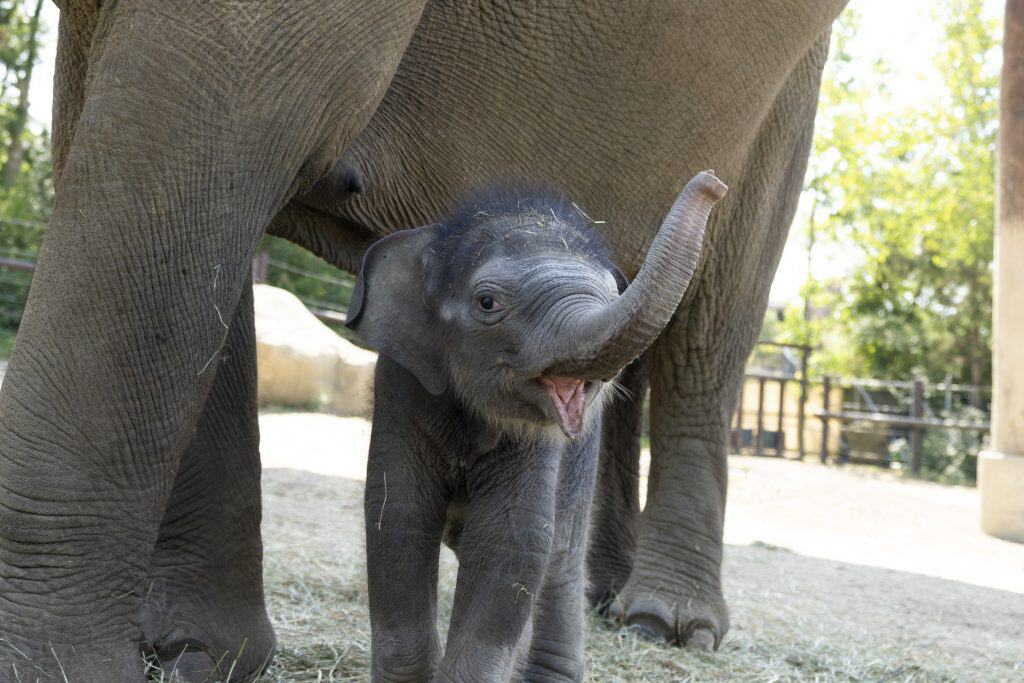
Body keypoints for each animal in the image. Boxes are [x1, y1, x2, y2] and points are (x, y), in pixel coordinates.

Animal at [350, 173, 725, 681]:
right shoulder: (401, 386)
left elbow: (514, 538)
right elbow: (399, 516)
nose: (714, 183)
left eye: (613, 297)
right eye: (487, 302)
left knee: (562, 556)